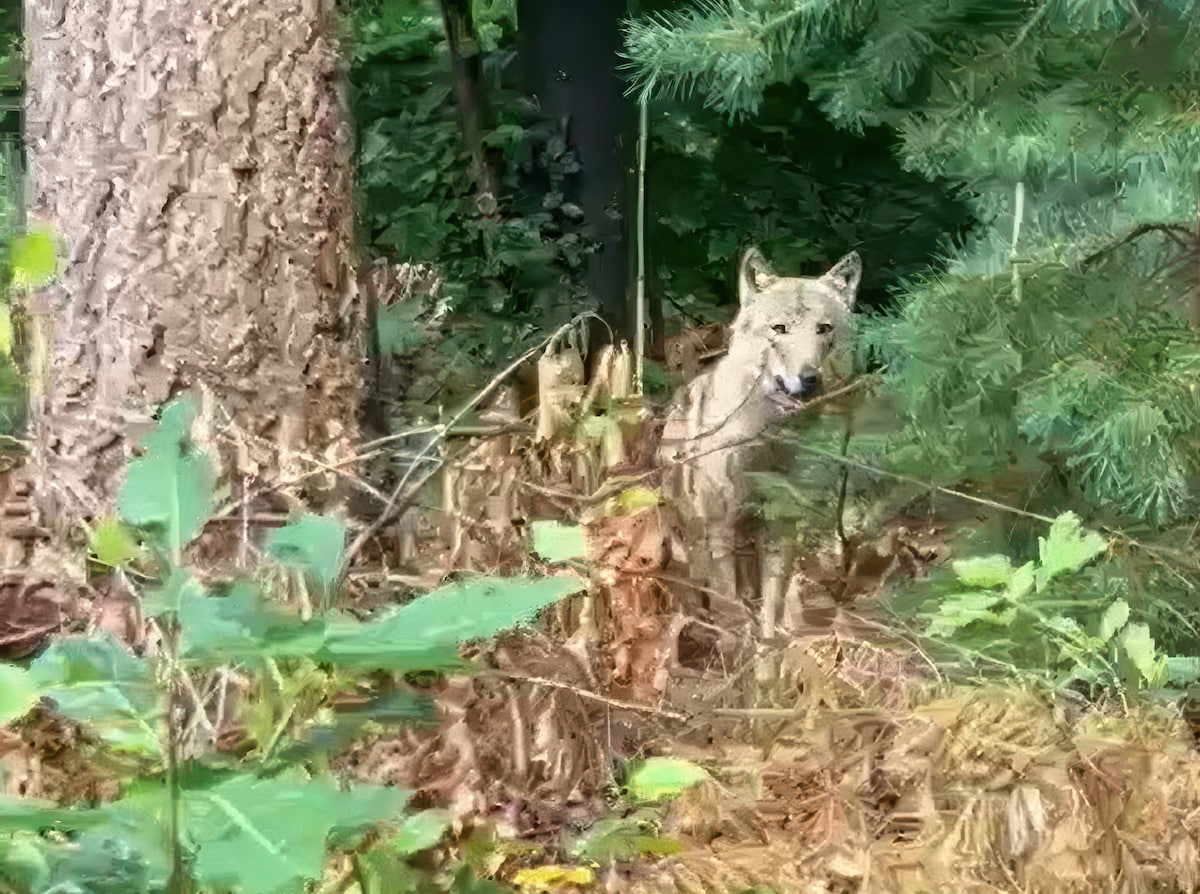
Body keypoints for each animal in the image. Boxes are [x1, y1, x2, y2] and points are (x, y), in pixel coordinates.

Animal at [658, 247, 861, 638]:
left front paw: (769, 640)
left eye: (824, 329)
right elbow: (727, 601)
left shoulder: (782, 521)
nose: (810, 378)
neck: (770, 439)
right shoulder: (719, 525)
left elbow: (773, 596)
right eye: (779, 329)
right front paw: (734, 639)